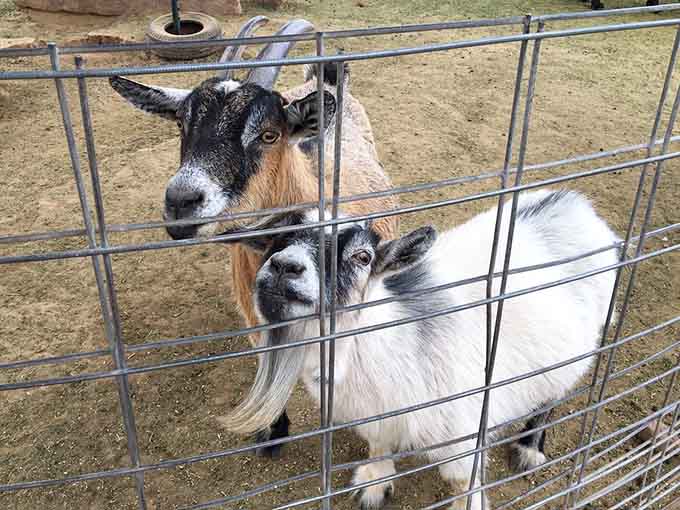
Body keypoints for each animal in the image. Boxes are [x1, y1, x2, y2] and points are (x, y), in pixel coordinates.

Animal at [108, 17, 399, 456]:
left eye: (268, 134)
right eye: (181, 123)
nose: (181, 201)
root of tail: (326, 81)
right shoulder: (254, 316)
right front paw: (272, 429)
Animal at [224, 189, 620, 509]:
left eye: (363, 257)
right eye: (276, 238)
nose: (284, 266)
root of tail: (580, 206)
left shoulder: (462, 434)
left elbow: (462, 482)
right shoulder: (374, 415)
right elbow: (378, 445)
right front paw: (374, 485)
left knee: (552, 395)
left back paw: (530, 448)